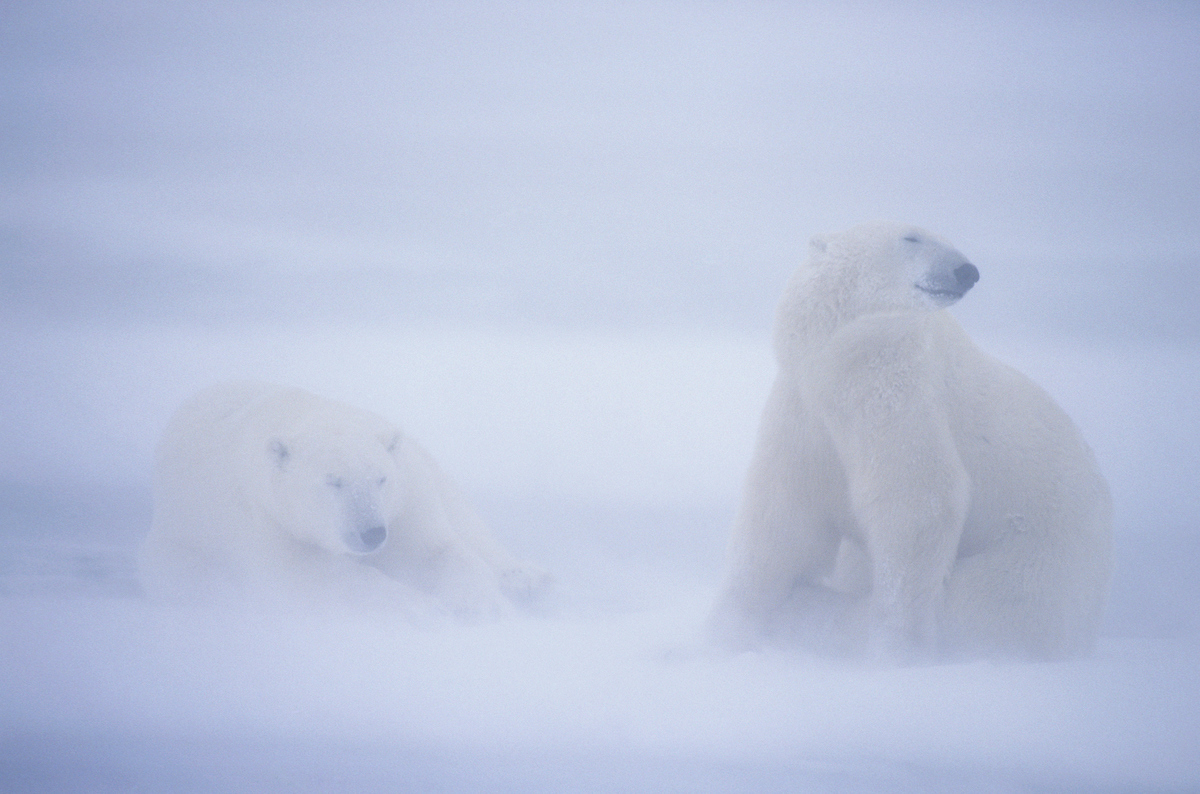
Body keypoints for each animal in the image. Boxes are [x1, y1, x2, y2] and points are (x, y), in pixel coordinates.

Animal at [138, 382, 552, 619]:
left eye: (380, 478)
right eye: (332, 482)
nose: (372, 533)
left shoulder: (405, 498)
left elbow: (435, 550)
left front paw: (474, 604)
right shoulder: (266, 518)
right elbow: (316, 576)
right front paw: (416, 606)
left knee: (465, 518)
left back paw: (527, 579)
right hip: (181, 535)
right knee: (183, 574)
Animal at [707, 222, 1112, 662]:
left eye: (947, 240)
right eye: (912, 238)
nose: (967, 271)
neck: (836, 369)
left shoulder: (895, 391)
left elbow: (917, 499)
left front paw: (895, 649)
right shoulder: (804, 410)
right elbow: (782, 513)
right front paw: (726, 633)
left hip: (1036, 565)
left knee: (975, 610)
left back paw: (816, 614)